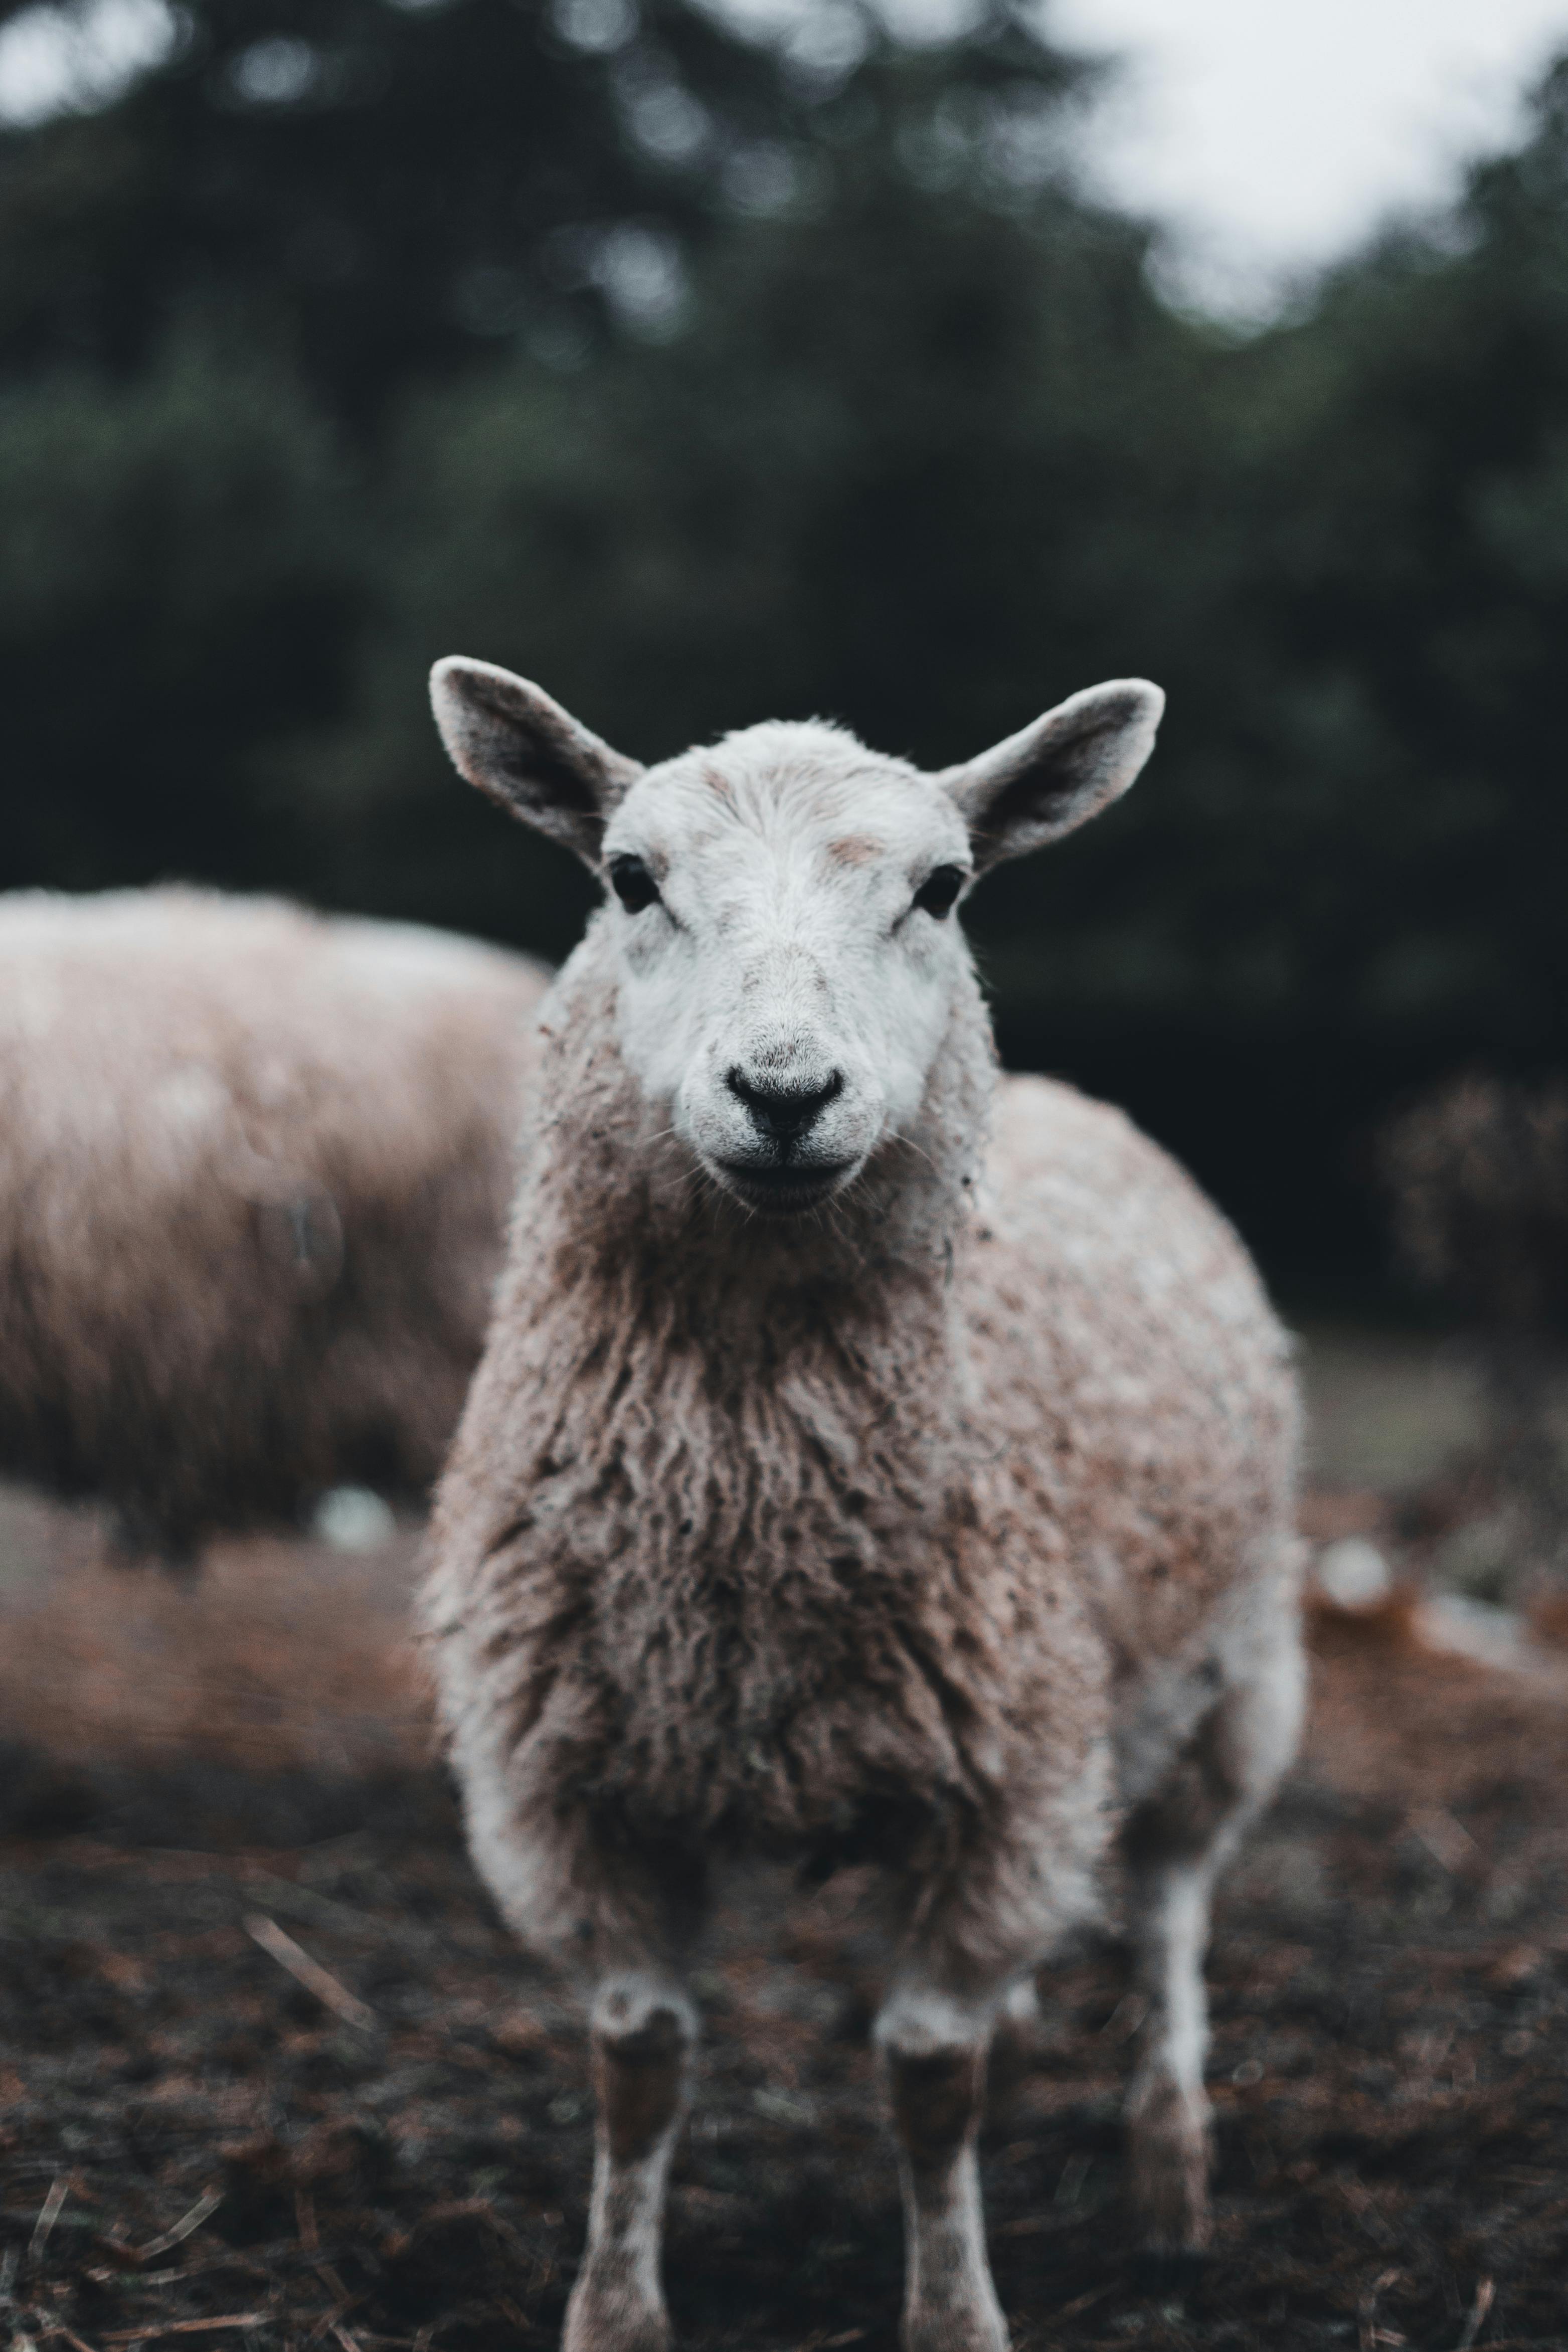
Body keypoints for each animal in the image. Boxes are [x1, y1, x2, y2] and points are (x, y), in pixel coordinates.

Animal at [423, 658, 1304, 2352]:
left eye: (941, 887)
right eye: (627, 877)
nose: (783, 1094)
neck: (738, 1517)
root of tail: (1080, 1099)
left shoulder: (1006, 1777)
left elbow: (925, 2078)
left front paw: (953, 2311)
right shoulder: (573, 1787)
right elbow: (637, 2065)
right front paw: (613, 2309)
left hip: (1232, 1669)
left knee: (1168, 1906)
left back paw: (1170, 2176)